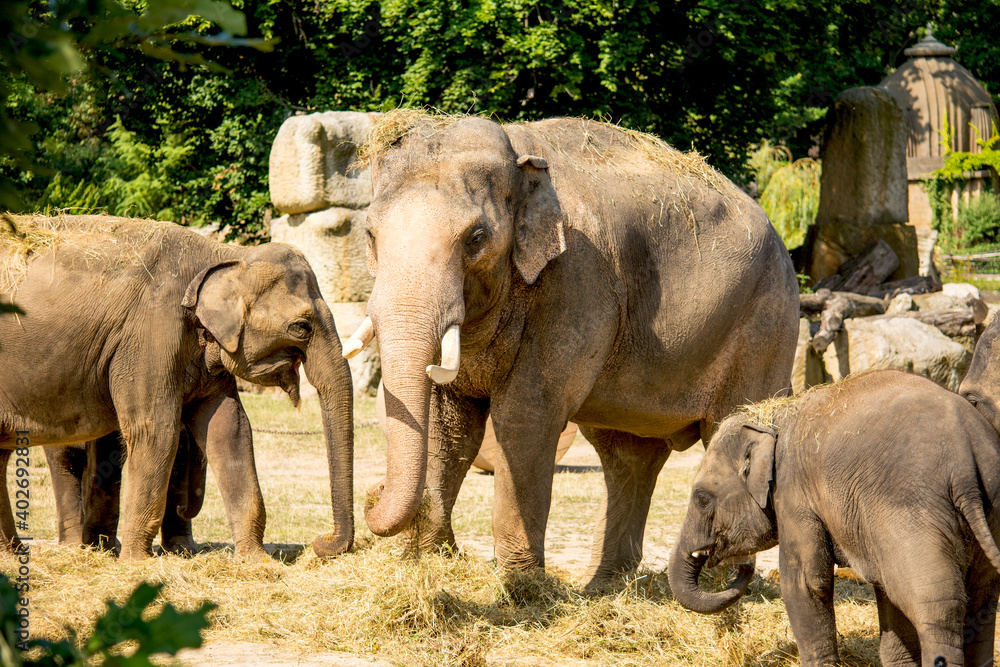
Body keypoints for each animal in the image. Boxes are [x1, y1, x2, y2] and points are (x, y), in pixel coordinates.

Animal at [343, 111, 800, 584]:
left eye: (476, 238)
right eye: (370, 235)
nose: (373, 491)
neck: (518, 154)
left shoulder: (577, 282)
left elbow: (525, 417)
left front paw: (523, 585)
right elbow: (448, 422)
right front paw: (429, 561)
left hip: (766, 324)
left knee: (730, 433)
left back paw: (720, 586)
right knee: (628, 454)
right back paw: (602, 587)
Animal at [668, 370, 1000, 667]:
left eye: (701, 498)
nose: (743, 566)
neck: (775, 413)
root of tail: (965, 466)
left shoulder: (794, 491)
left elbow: (806, 581)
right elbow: (885, 594)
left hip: (913, 512)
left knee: (937, 606)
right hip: (989, 509)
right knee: (980, 603)